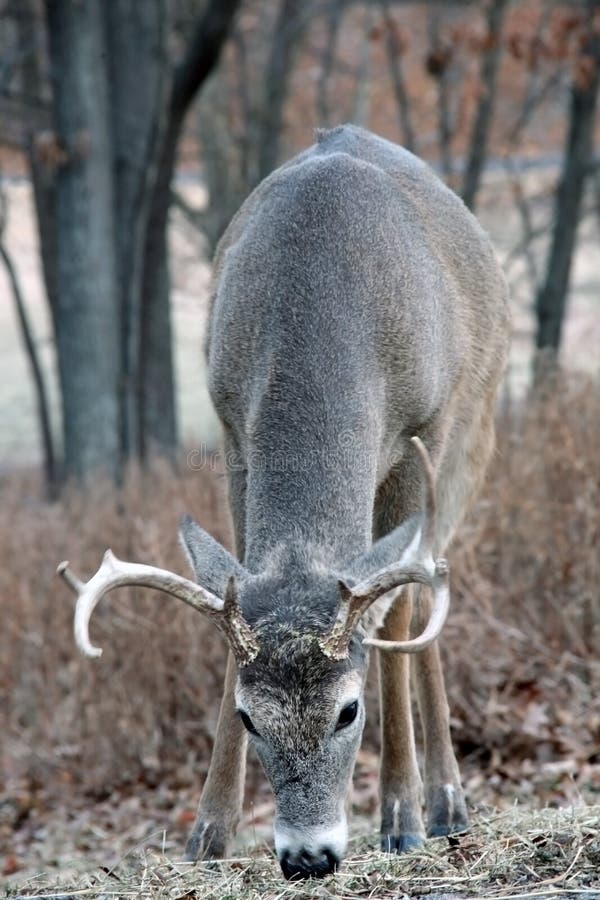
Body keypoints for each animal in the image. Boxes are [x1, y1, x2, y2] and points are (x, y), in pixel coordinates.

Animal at [58, 125, 509, 880]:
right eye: (250, 717)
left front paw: (402, 817)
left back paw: (447, 802)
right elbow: (236, 593)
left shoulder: (426, 429)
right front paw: (208, 831)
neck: (322, 301)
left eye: (349, 712)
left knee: (427, 592)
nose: (308, 857)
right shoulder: (231, 428)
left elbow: (397, 617)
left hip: (473, 441)